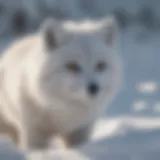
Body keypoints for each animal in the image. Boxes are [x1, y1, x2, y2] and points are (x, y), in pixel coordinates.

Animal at [0, 16, 122, 150]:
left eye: (100, 65)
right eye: (72, 66)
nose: (94, 88)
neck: (65, 112)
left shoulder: (80, 131)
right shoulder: (35, 134)